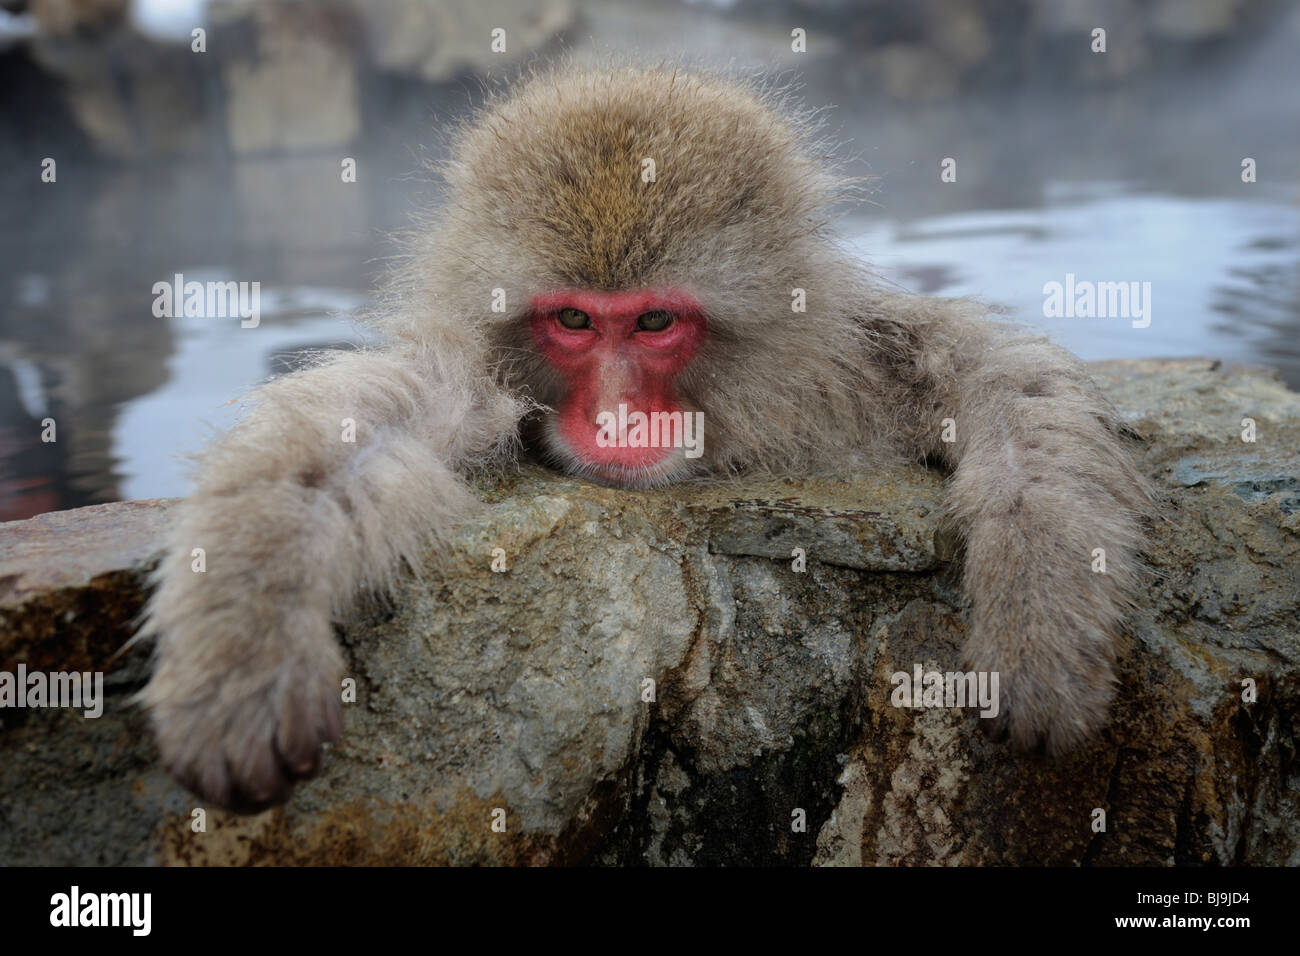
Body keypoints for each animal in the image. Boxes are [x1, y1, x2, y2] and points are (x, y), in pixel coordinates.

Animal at [138, 63, 1150, 813]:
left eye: (656, 320)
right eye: (575, 321)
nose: (621, 417)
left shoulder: (857, 351)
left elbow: (1015, 388)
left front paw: (1039, 630)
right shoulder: (472, 378)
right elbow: (340, 443)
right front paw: (247, 653)